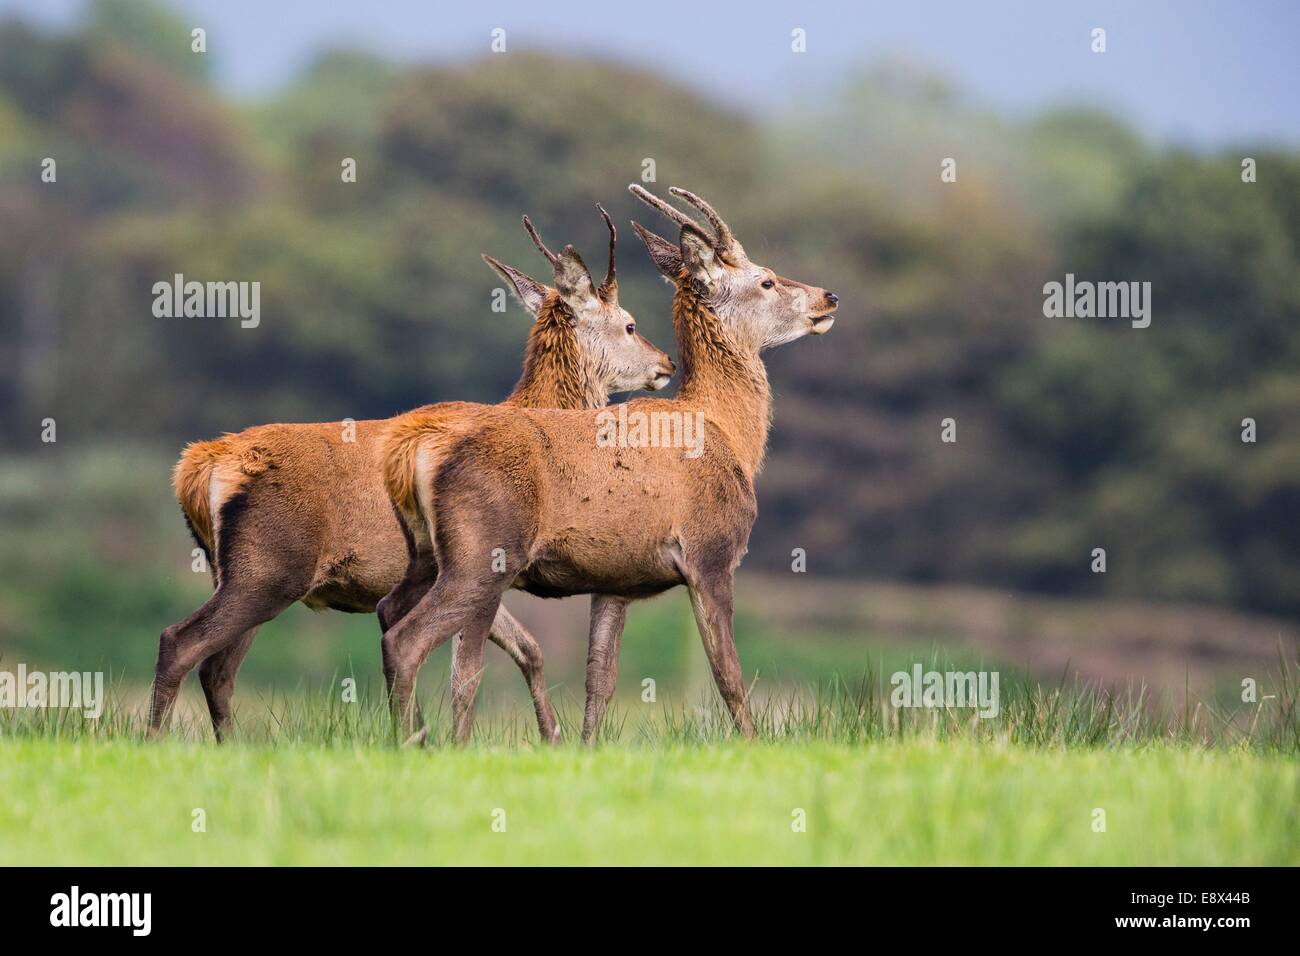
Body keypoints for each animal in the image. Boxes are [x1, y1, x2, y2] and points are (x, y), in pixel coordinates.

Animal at [149, 208, 675, 742]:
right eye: (630, 325)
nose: (666, 362)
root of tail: (195, 467)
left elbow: (526, 650)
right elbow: (481, 662)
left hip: (230, 570)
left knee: (217, 668)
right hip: (269, 567)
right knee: (181, 643)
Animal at [380, 185, 838, 743]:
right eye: (766, 279)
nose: (828, 297)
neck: (726, 431)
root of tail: (414, 453)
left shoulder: (615, 578)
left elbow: (600, 679)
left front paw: (585, 746)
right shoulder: (710, 552)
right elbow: (727, 674)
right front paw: (753, 743)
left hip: (425, 556)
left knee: (392, 616)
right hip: (483, 553)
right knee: (415, 644)